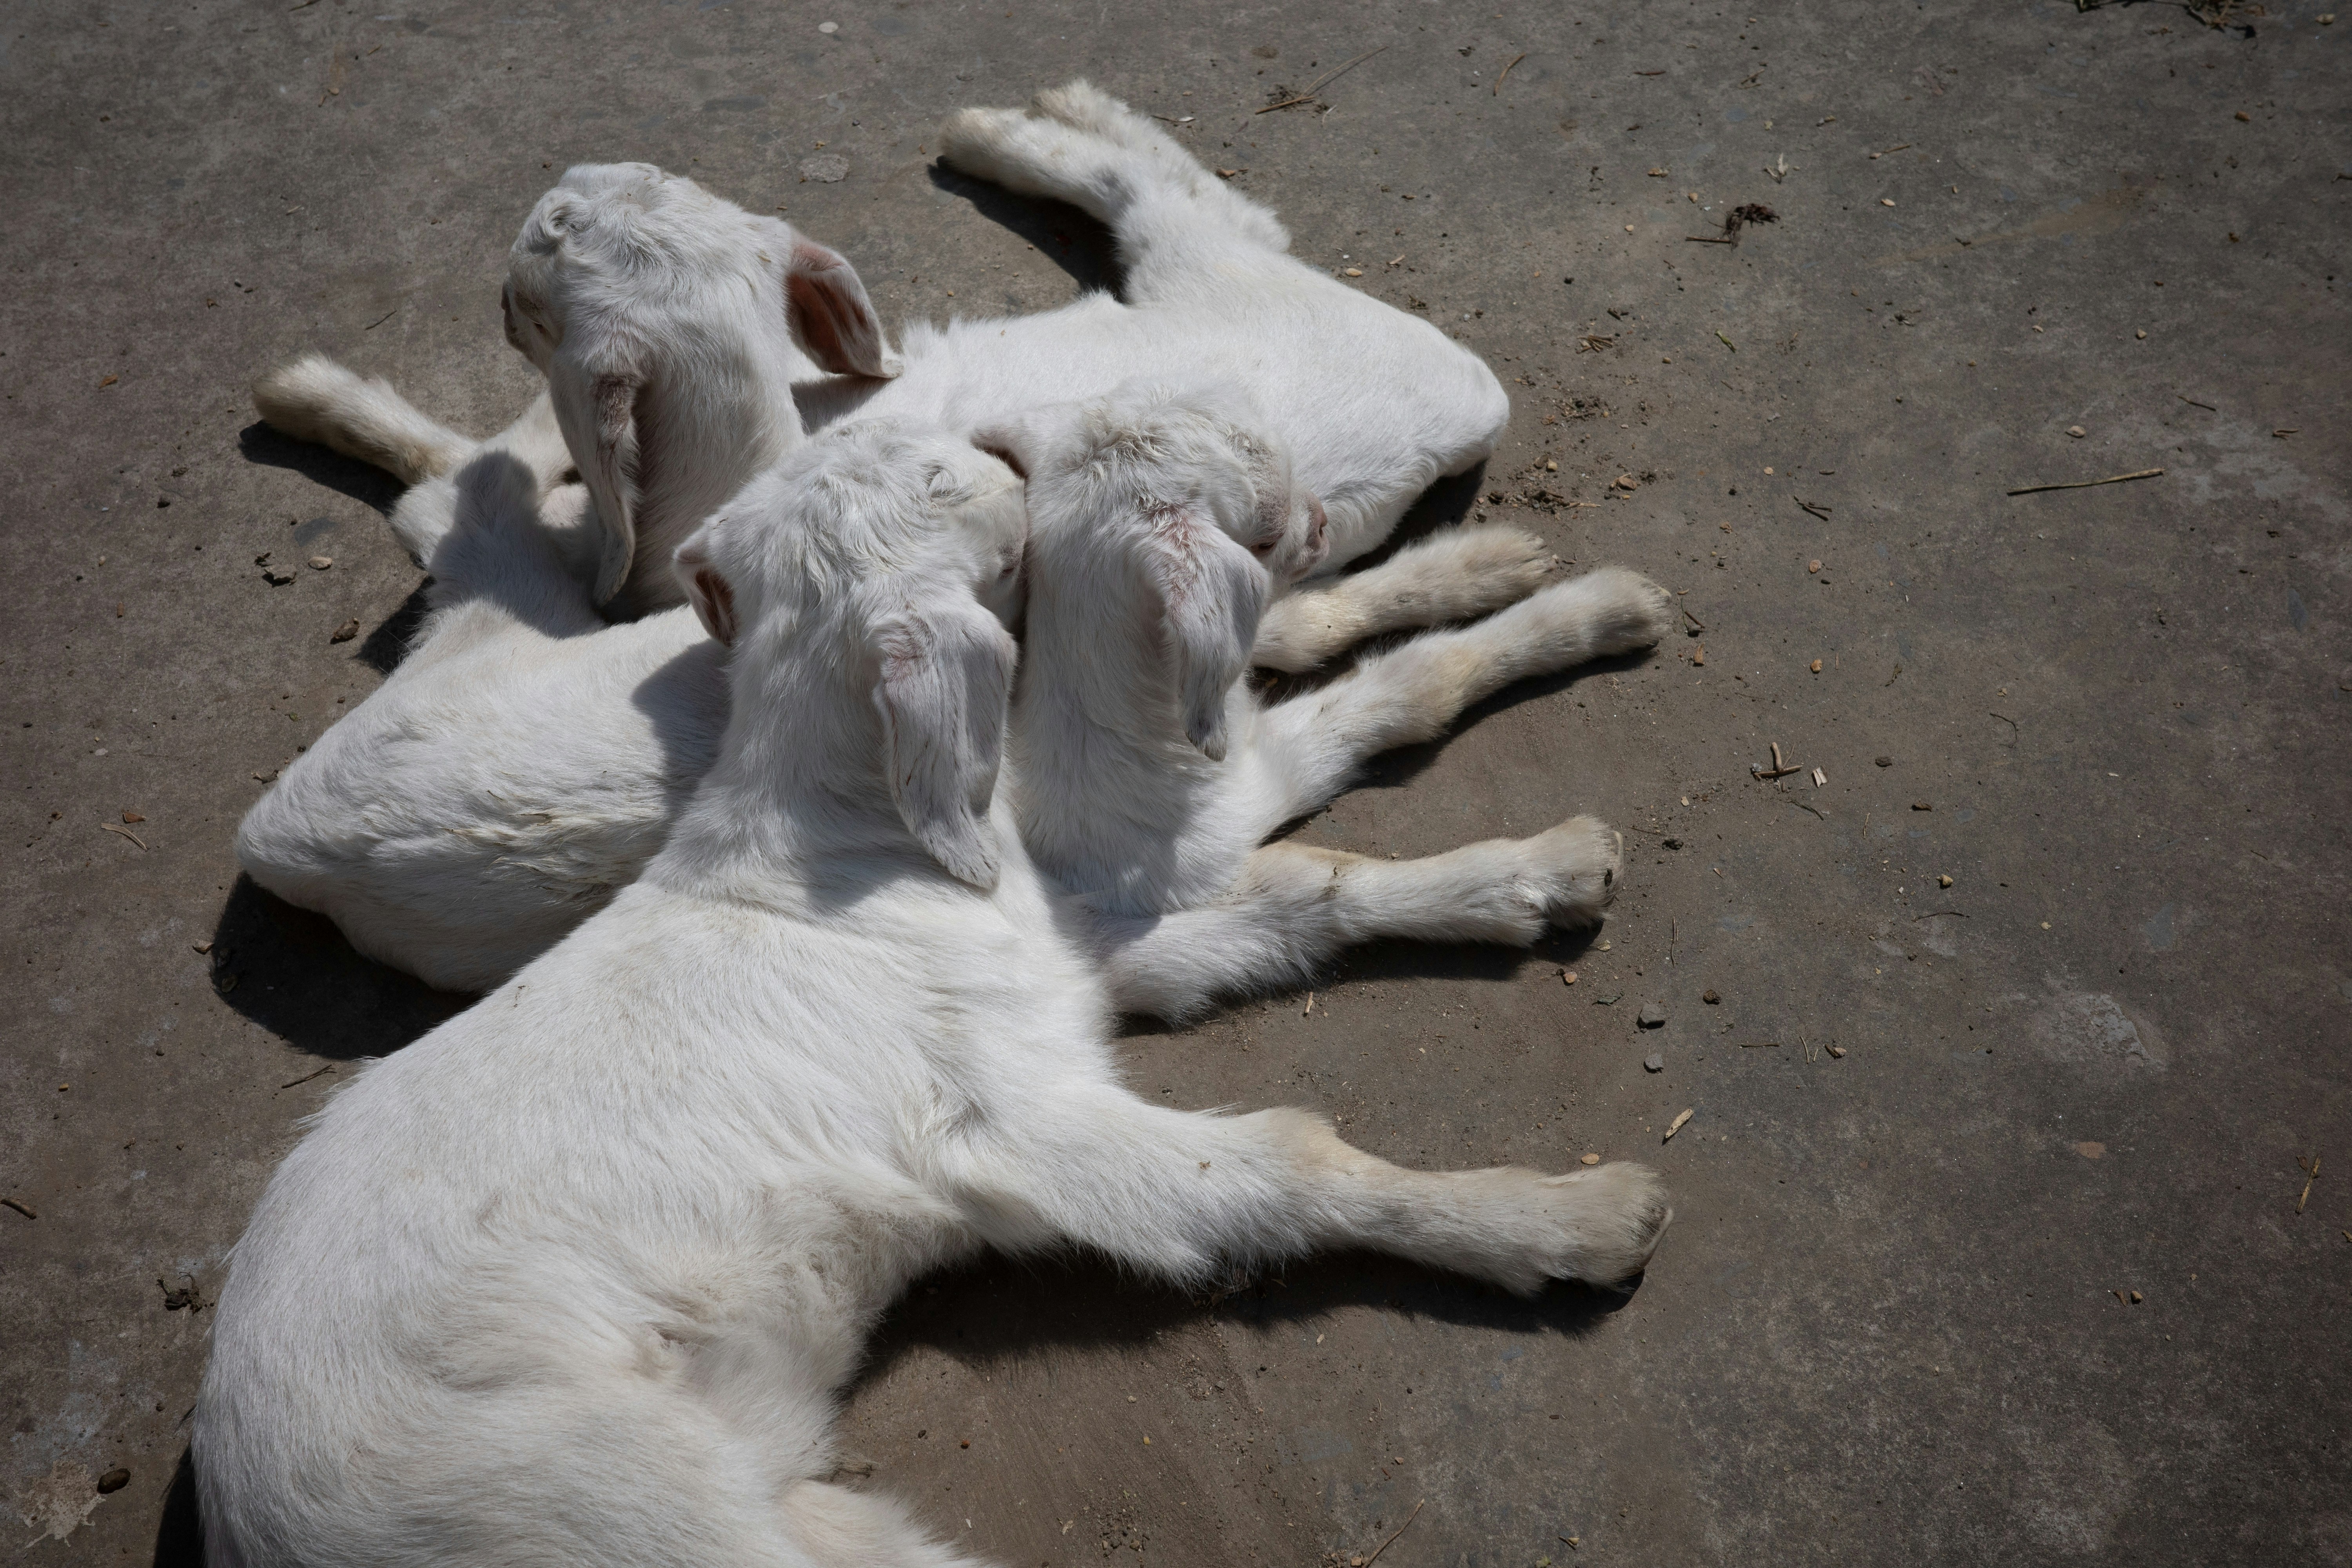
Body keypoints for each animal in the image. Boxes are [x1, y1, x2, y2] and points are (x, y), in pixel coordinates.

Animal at [240, 86, 1550, 990]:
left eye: (550, 246)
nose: (563, 180)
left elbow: (470, 475)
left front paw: (329, 401)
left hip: (1223, 276)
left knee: (1192, 203)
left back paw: (1024, 125)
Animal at [987, 382, 1678, 1021]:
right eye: (1265, 533)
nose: (1321, 521)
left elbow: (1323, 636)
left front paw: (1503, 570)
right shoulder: (1199, 832)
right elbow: (1404, 700)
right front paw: (1564, 865)